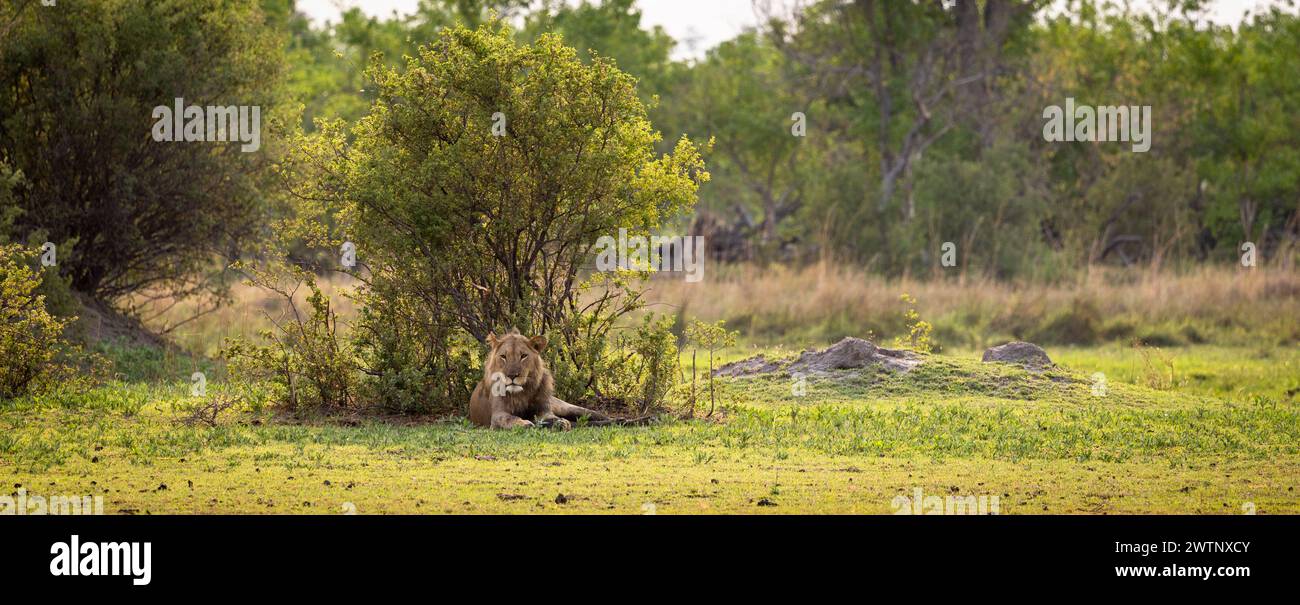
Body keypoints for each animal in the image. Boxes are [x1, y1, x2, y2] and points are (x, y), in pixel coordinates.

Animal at [468, 329, 610, 429]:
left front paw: (560, 422)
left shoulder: (544, 411)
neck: (522, 393)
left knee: (594, 415)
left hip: (567, 408)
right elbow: (510, 419)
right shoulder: (497, 416)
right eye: (503, 356)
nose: (512, 375)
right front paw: (524, 424)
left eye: (523, 356)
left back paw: (613, 420)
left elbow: (552, 417)